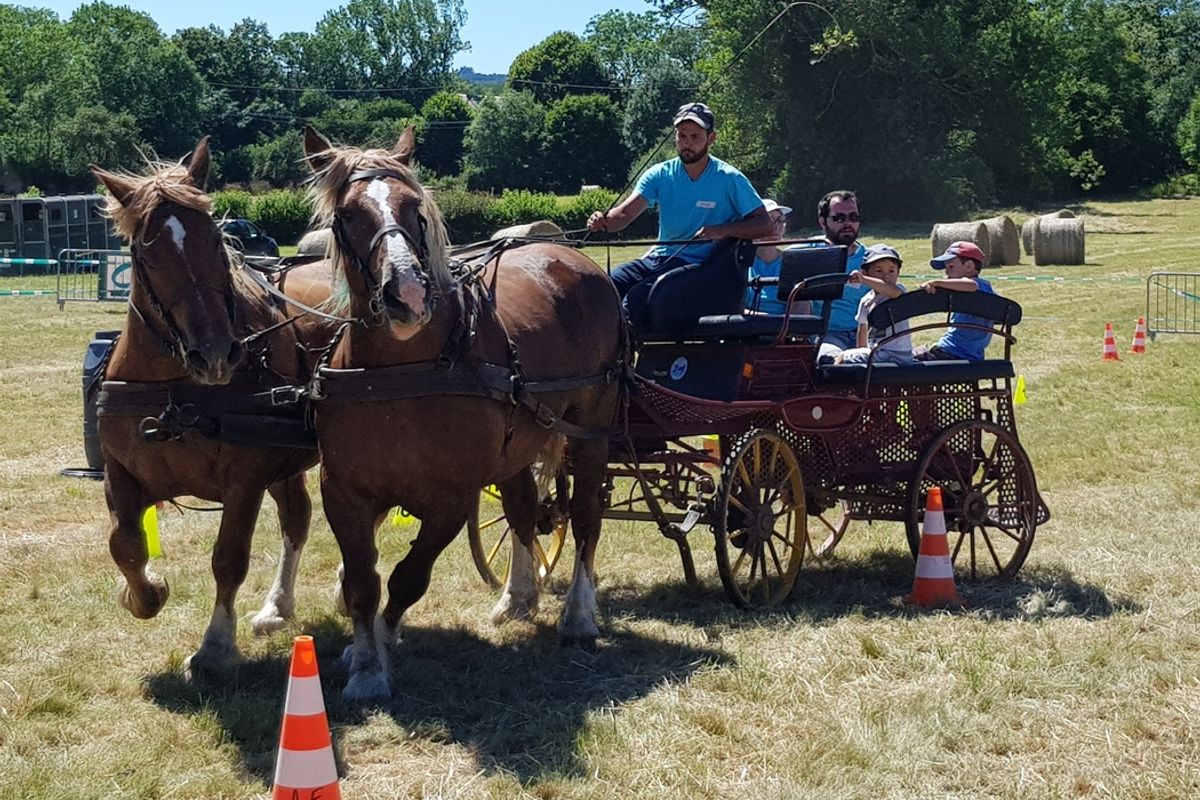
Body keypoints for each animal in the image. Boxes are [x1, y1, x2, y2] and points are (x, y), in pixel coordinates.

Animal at [90, 137, 335, 680]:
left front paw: (215, 647)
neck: (174, 388)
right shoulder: (120, 471)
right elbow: (125, 544)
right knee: (298, 518)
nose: (216, 353)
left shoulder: (244, 481)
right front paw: (144, 593)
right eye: (147, 254)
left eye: (216, 241)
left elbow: (228, 558)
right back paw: (277, 607)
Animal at [303, 125, 626, 703]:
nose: (407, 293)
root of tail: (575, 259)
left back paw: (578, 616)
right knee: (524, 509)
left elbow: (408, 577)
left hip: (591, 431)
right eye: (348, 214)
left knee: (587, 516)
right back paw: (518, 596)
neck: (403, 370)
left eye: (415, 209)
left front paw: (381, 647)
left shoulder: (450, 498)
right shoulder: (342, 492)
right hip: (522, 441)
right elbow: (362, 582)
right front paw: (365, 659)